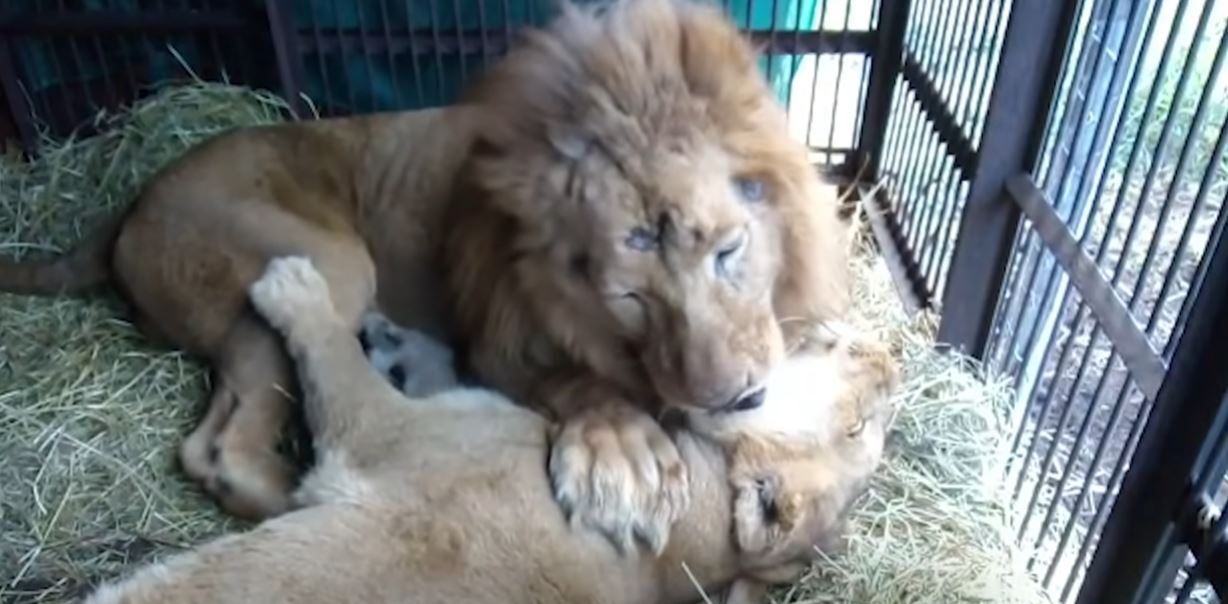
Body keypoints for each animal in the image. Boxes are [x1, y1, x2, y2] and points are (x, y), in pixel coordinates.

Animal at [0, 0, 849, 550]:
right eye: (629, 295)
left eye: (728, 251)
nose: (732, 396)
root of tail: (135, 195)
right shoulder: (501, 340)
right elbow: (580, 388)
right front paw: (624, 458)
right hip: (332, 262)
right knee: (221, 450)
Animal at [82, 256, 892, 604]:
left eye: (859, 425)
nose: (891, 360)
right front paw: (395, 337)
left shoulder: (382, 437)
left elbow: (334, 357)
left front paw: (297, 285)